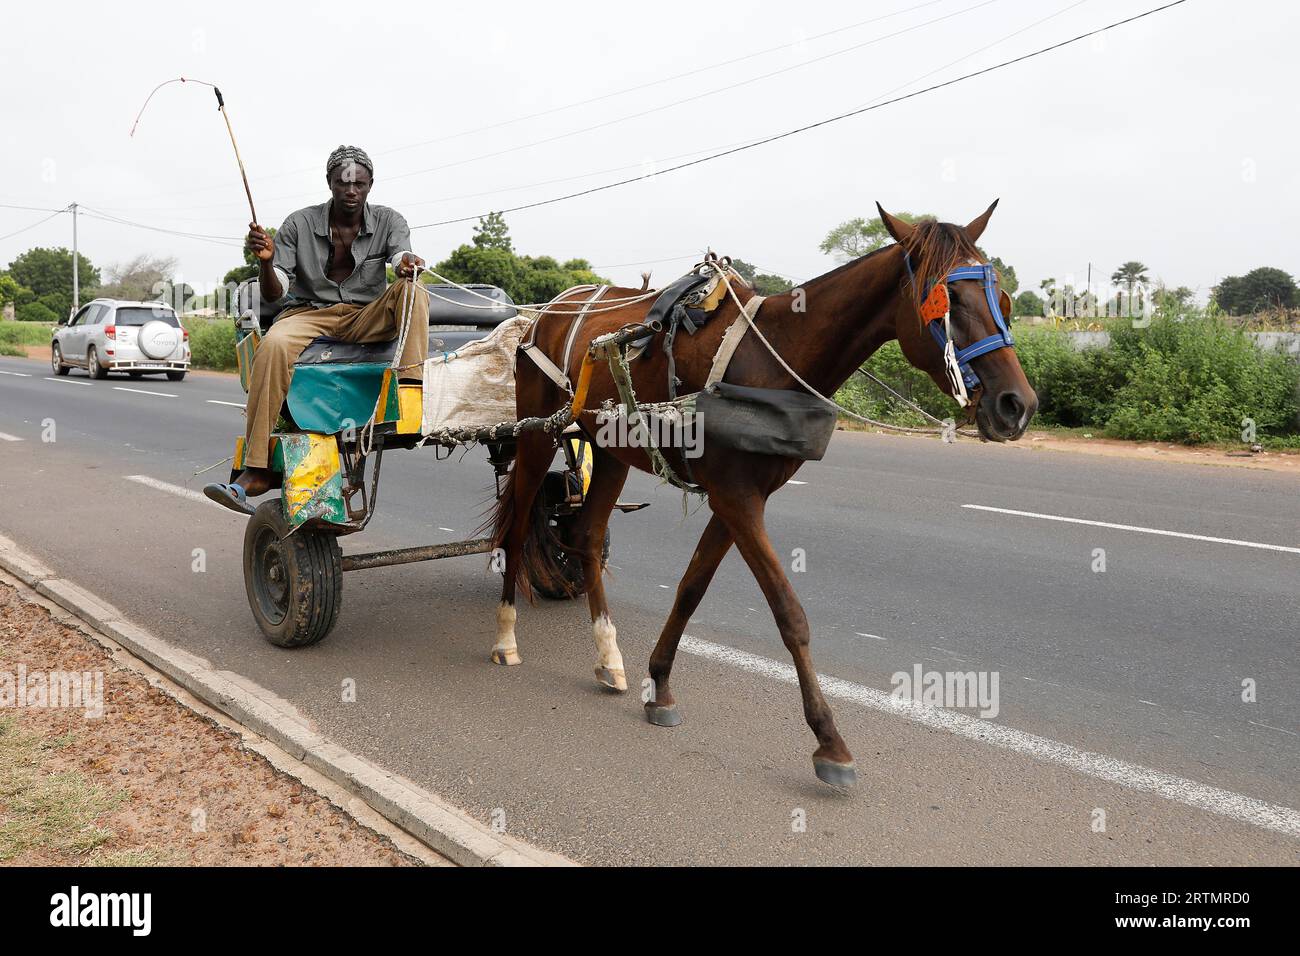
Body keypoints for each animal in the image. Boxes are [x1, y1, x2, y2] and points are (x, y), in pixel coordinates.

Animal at [487, 201, 1037, 787]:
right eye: (946, 302)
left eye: (1003, 300)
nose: (1017, 405)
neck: (775, 357)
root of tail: (548, 309)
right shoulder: (735, 497)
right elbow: (788, 613)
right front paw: (829, 740)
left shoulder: (738, 499)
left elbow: (691, 589)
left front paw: (660, 685)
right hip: (537, 432)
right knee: (517, 528)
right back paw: (505, 638)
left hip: (607, 446)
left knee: (587, 536)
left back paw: (608, 656)